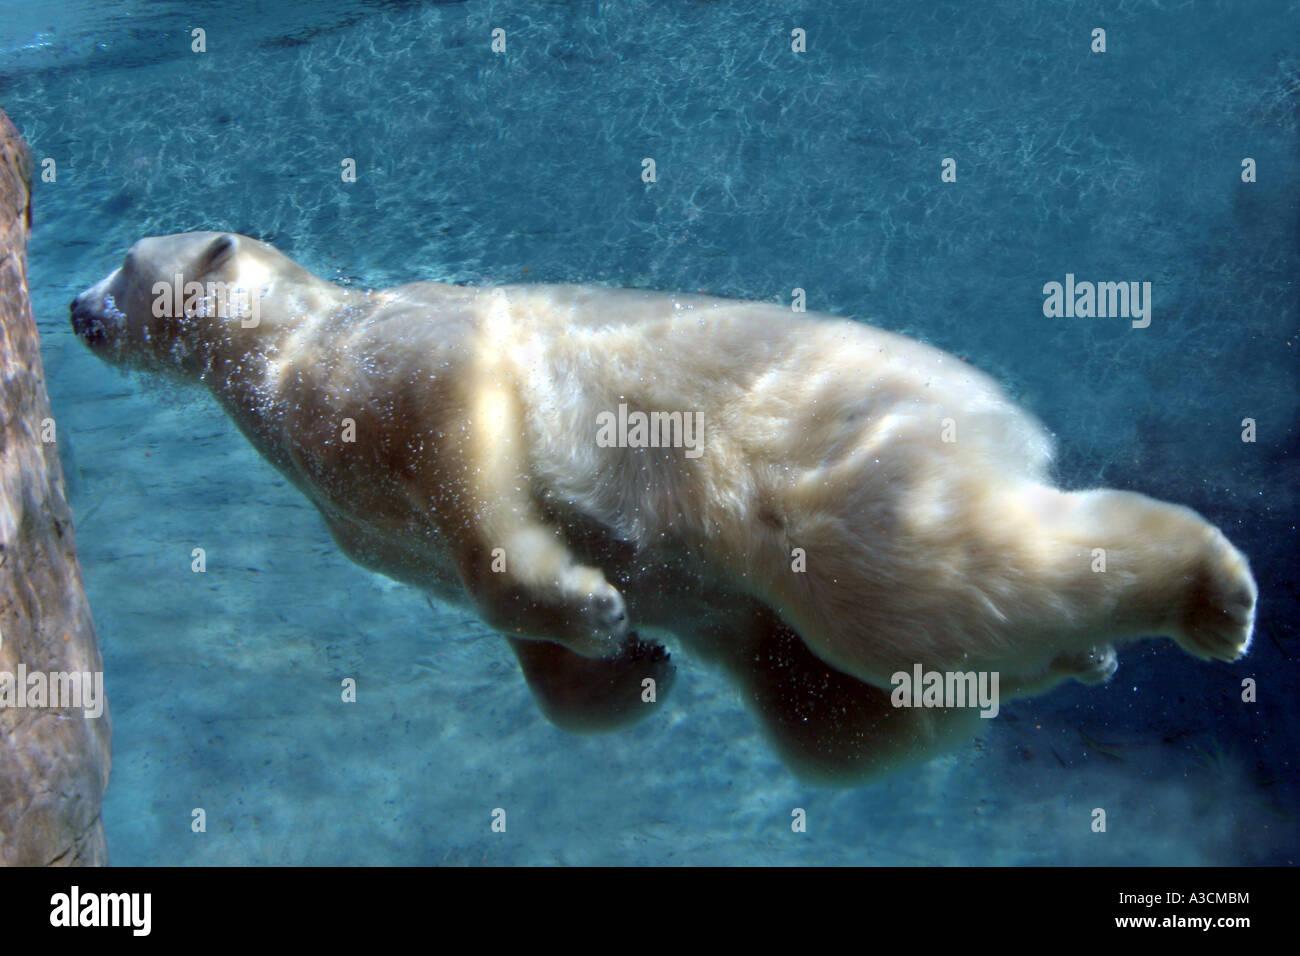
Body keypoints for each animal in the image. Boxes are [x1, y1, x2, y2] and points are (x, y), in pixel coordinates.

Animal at [70, 232, 1258, 782]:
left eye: (123, 259)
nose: (74, 308)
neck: (296, 348)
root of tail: (996, 411)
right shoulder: (365, 516)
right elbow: (485, 590)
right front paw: (628, 663)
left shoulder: (404, 360)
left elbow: (476, 470)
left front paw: (598, 615)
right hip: (788, 617)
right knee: (836, 713)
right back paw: (1079, 658)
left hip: (829, 465)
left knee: (913, 591)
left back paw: (1210, 590)